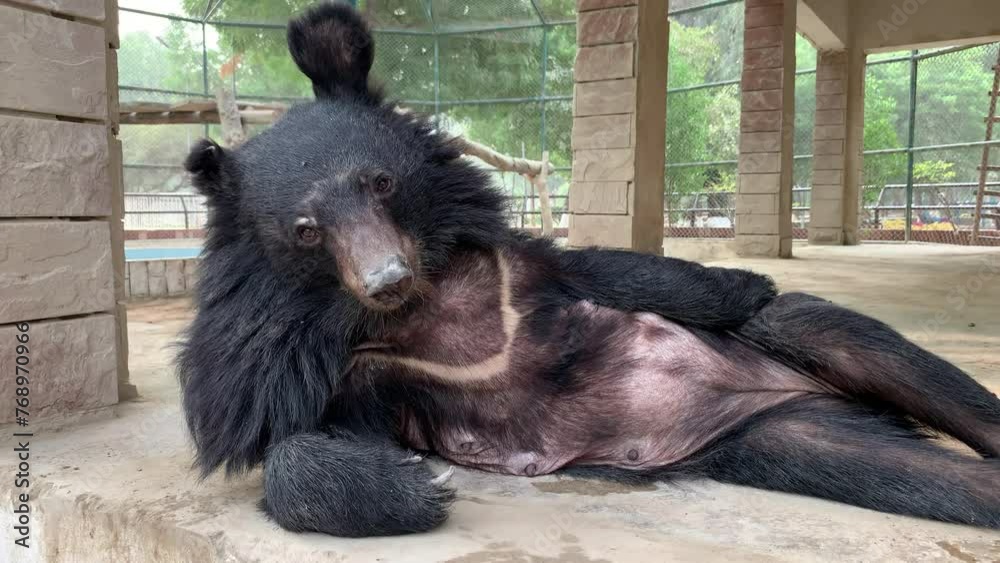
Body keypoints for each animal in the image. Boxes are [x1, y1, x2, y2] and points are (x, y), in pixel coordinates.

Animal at [179, 2, 1000, 538]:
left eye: (381, 182)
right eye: (306, 230)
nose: (387, 278)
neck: (418, 308)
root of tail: (792, 394)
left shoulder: (511, 269)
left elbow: (599, 269)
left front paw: (744, 283)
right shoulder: (296, 362)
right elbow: (282, 440)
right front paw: (419, 485)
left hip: (804, 364)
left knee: (852, 340)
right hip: (788, 441)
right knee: (925, 476)